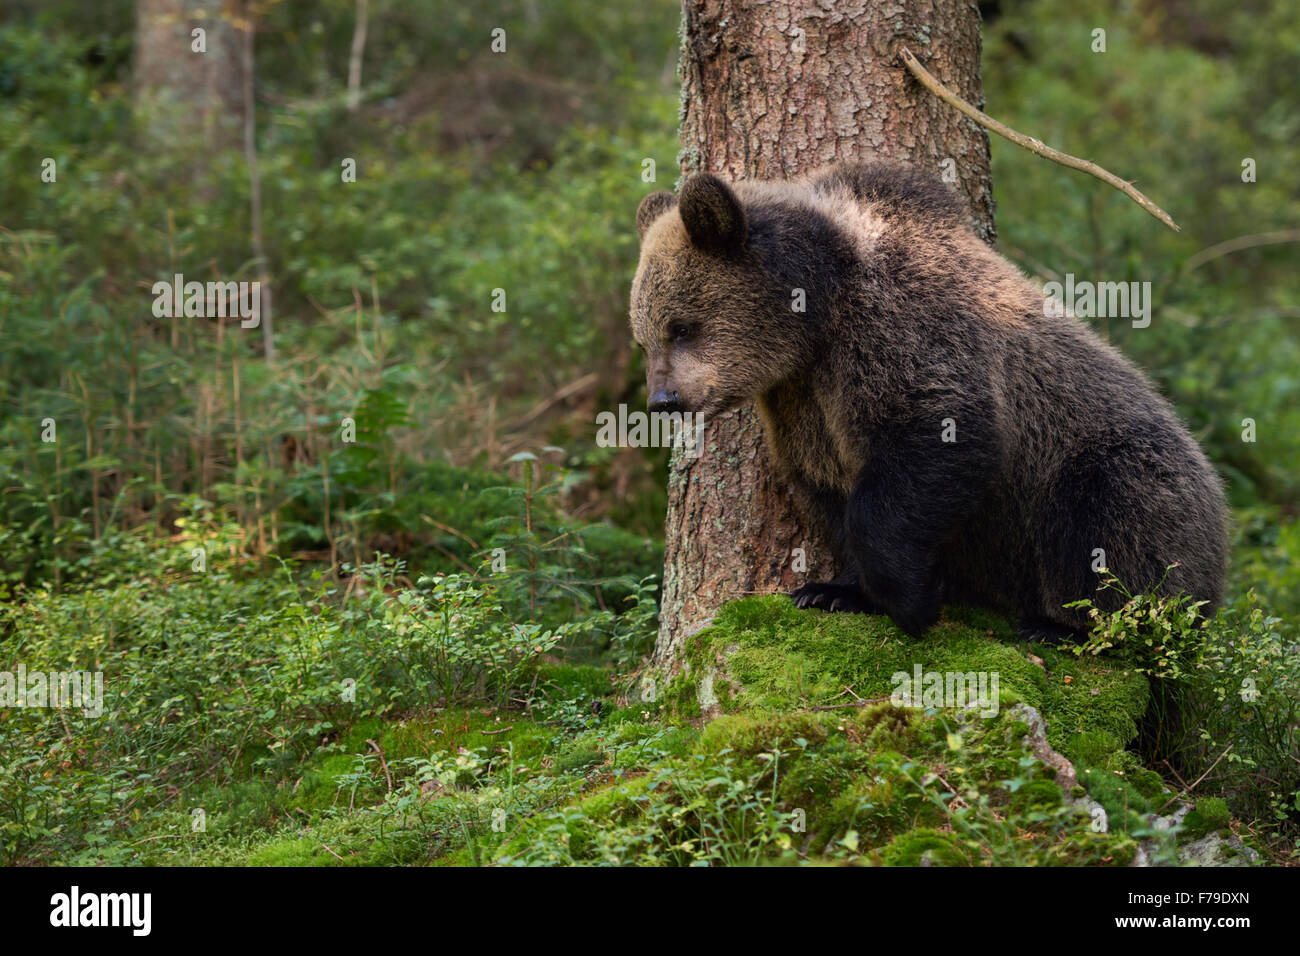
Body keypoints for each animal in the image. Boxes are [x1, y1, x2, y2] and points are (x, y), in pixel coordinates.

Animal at [630, 162, 1229, 642]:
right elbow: (830, 488)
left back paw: (1066, 625)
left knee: (1108, 530)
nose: (664, 400)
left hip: (1109, 463)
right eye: (645, 338)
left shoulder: (898, 333)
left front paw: (910, 602)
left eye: (681, 326)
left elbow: (929, 446)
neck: (817, 318)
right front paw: (834, 590)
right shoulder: (802, 402)